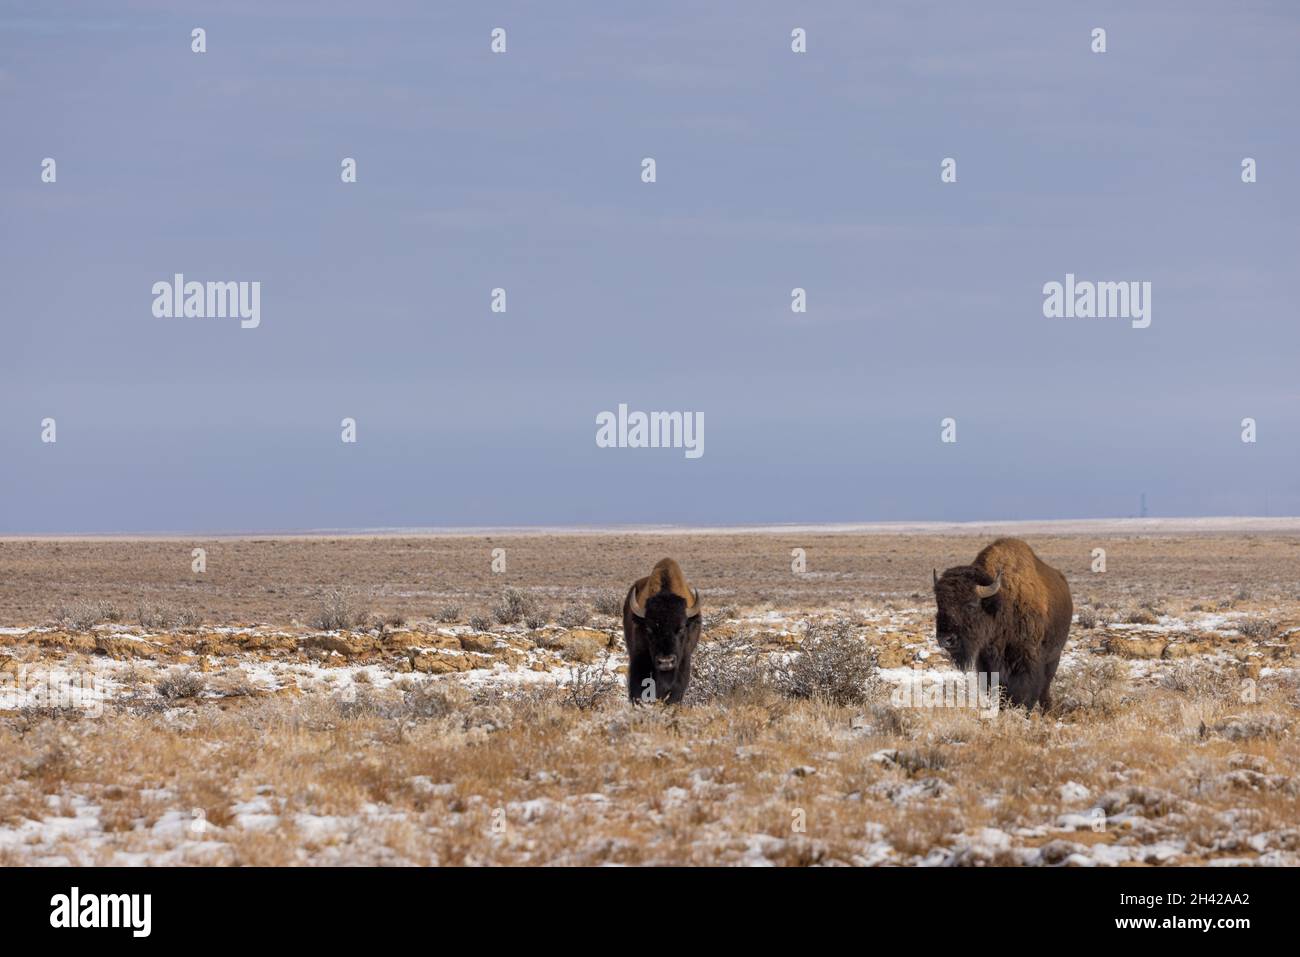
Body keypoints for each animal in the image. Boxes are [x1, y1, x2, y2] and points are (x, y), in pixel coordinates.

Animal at [932, 537, 1072, 711]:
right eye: (940, 604)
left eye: (971, 605)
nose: (946, 639)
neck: (1000, 602)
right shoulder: (986, 663)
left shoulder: (1027, 661)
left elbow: (1025, 691)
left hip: (1054, 657)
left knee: (1045, 686)